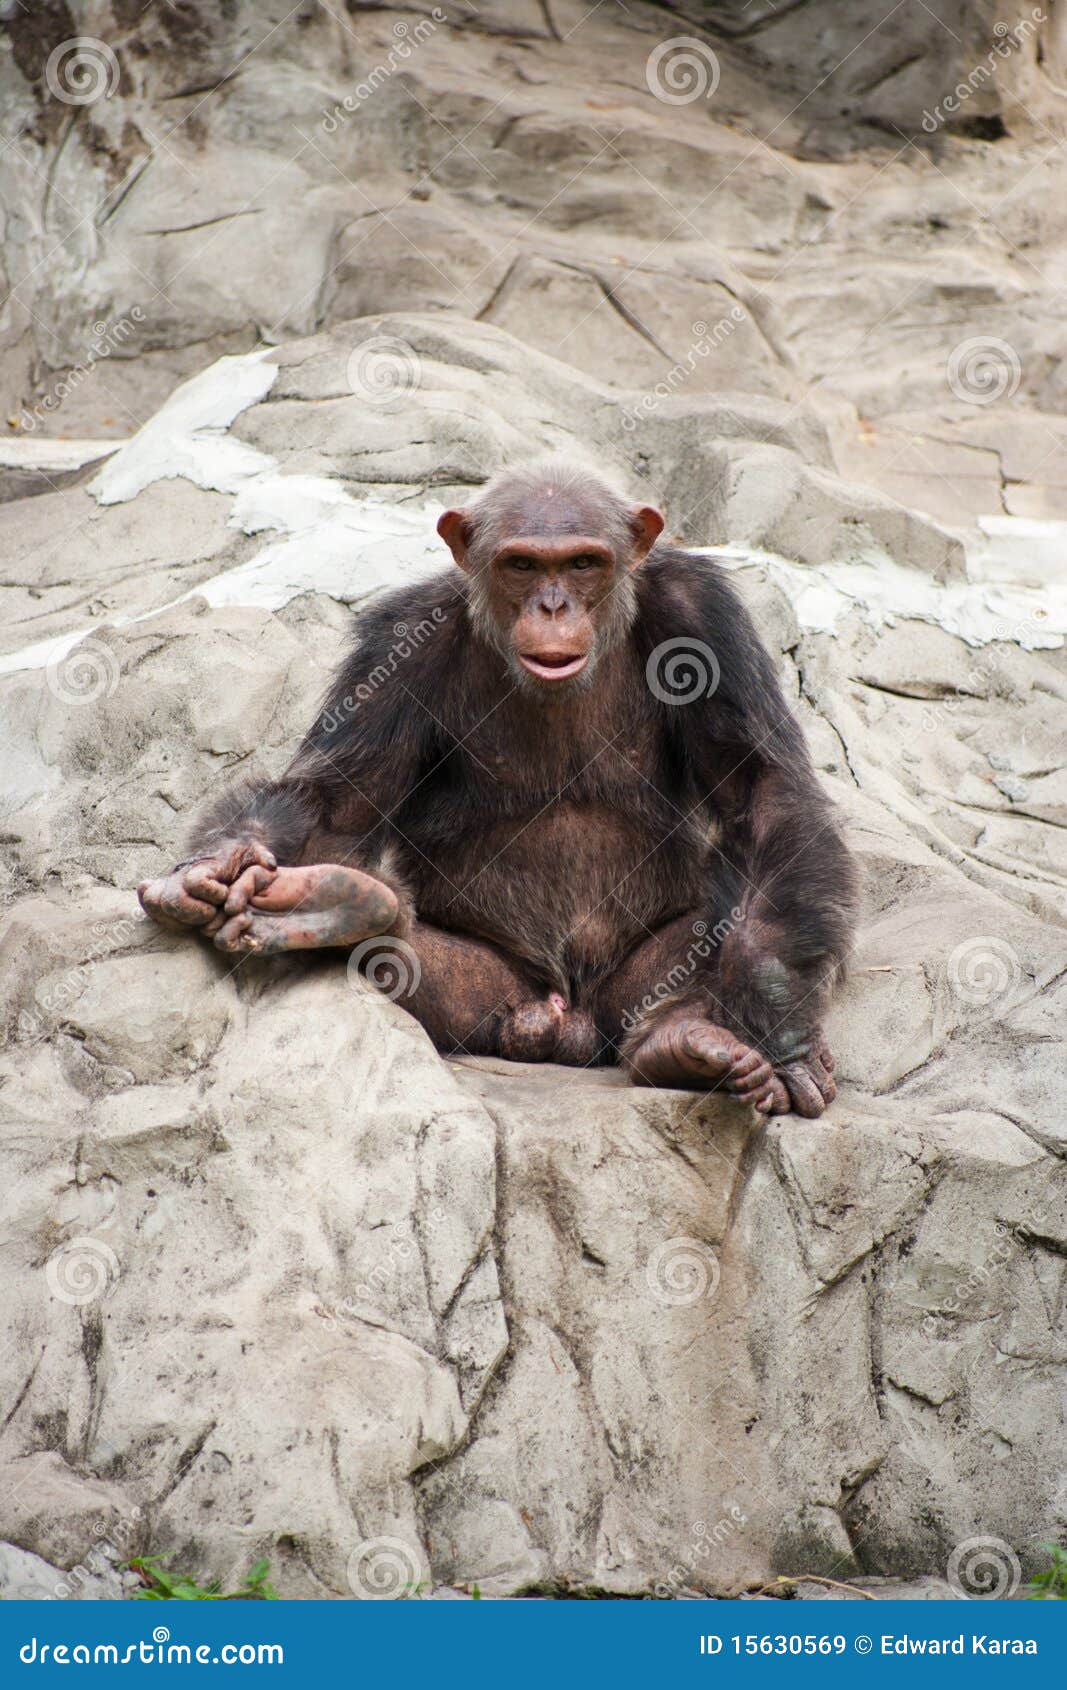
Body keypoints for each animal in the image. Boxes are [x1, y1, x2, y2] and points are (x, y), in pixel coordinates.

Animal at [139, 463, 858, 1117]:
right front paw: (217, 862)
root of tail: (566, 1026)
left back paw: (689, 1039)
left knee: (725, 918)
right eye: (521, 565)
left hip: (621, 997)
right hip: (498, 1001)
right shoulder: (399, 640)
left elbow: (761, 793)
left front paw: (782, 1034)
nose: (552, 605)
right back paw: (336, 906)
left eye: (582, 563)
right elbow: (337, 803)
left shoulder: (704, 616)